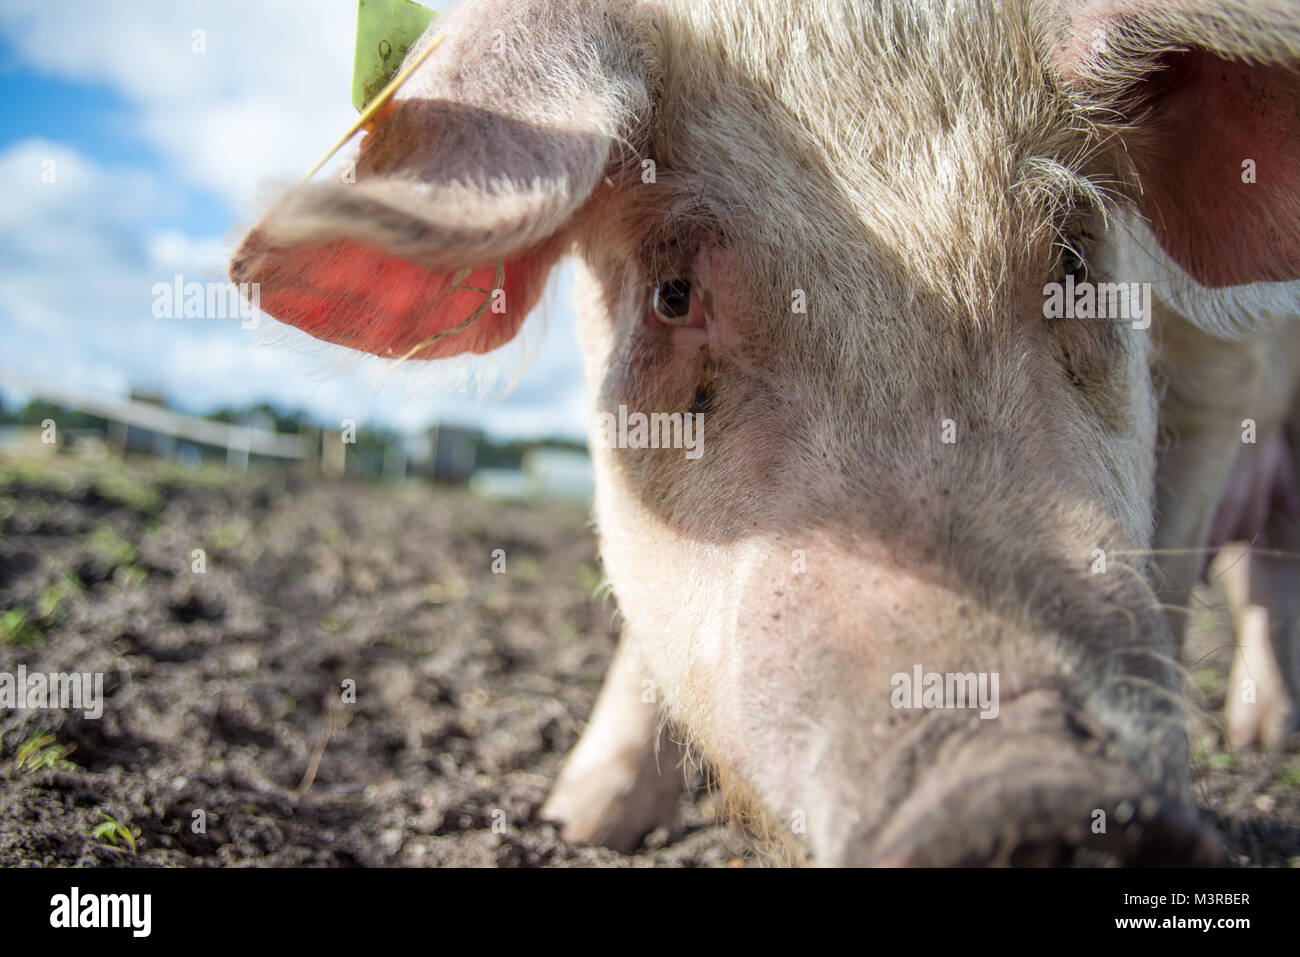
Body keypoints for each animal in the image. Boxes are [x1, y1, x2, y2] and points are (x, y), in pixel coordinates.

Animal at [231, 0, 1300, 864]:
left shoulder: (1222, 371)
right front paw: (579, 824)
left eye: (1074, 256)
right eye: (671, 293)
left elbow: (1170, 580)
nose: (1030, 784)